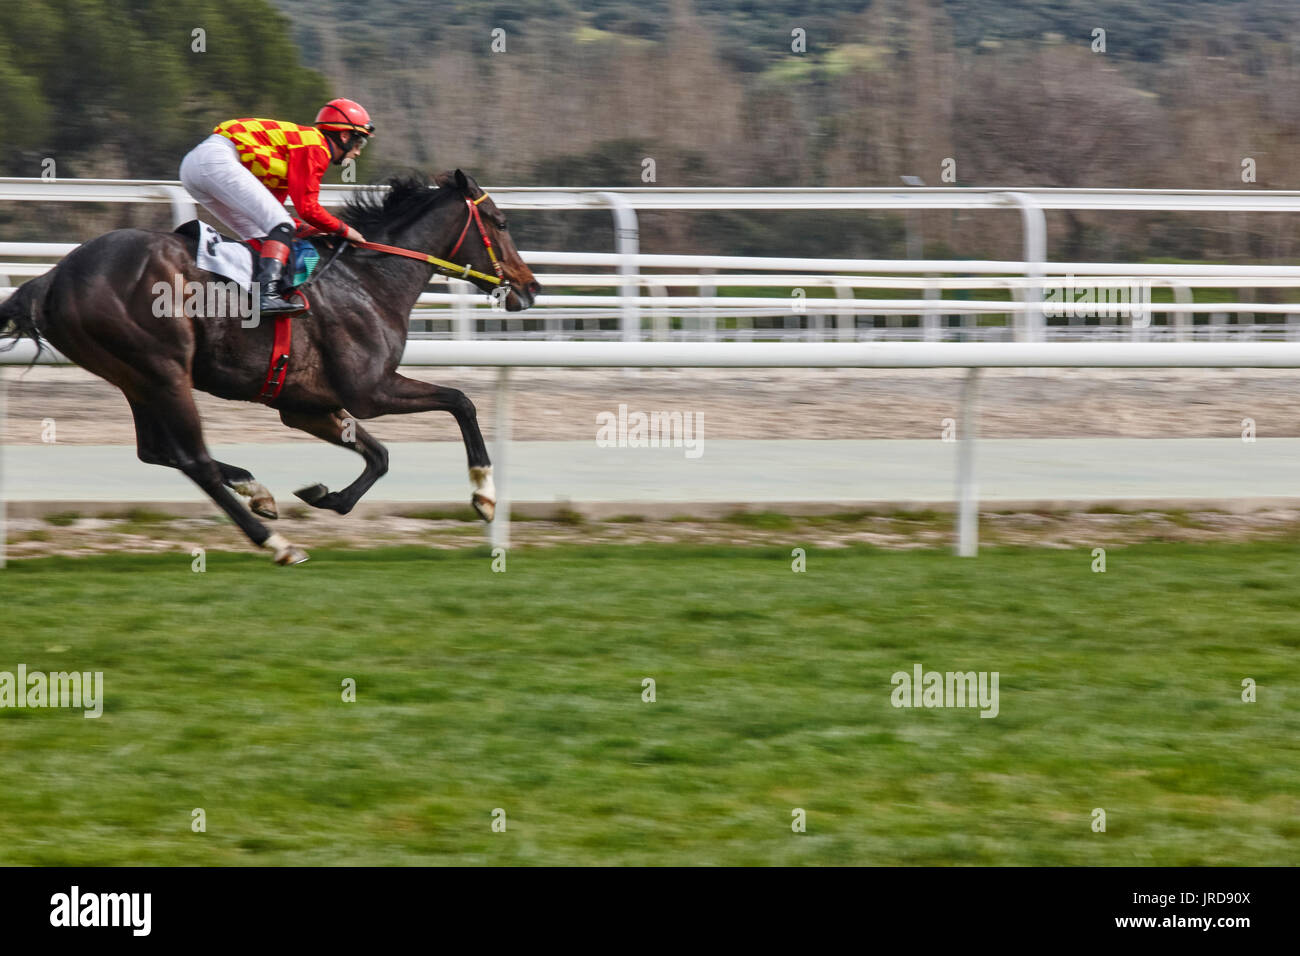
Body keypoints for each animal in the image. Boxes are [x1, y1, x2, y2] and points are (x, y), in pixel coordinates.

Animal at [0, 169, 541, 565]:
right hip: (163, 370)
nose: (530, 287)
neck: (368, 278)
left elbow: (380, 455)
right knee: (192, 459)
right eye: (500, 221)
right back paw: (274, 542)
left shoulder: (307, 405)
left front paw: (324, 495)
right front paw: (484, 496)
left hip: (136, 377)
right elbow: (461, 402)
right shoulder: (370, 390)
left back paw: (254, 488)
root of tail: (53, 277)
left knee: (155, 451)